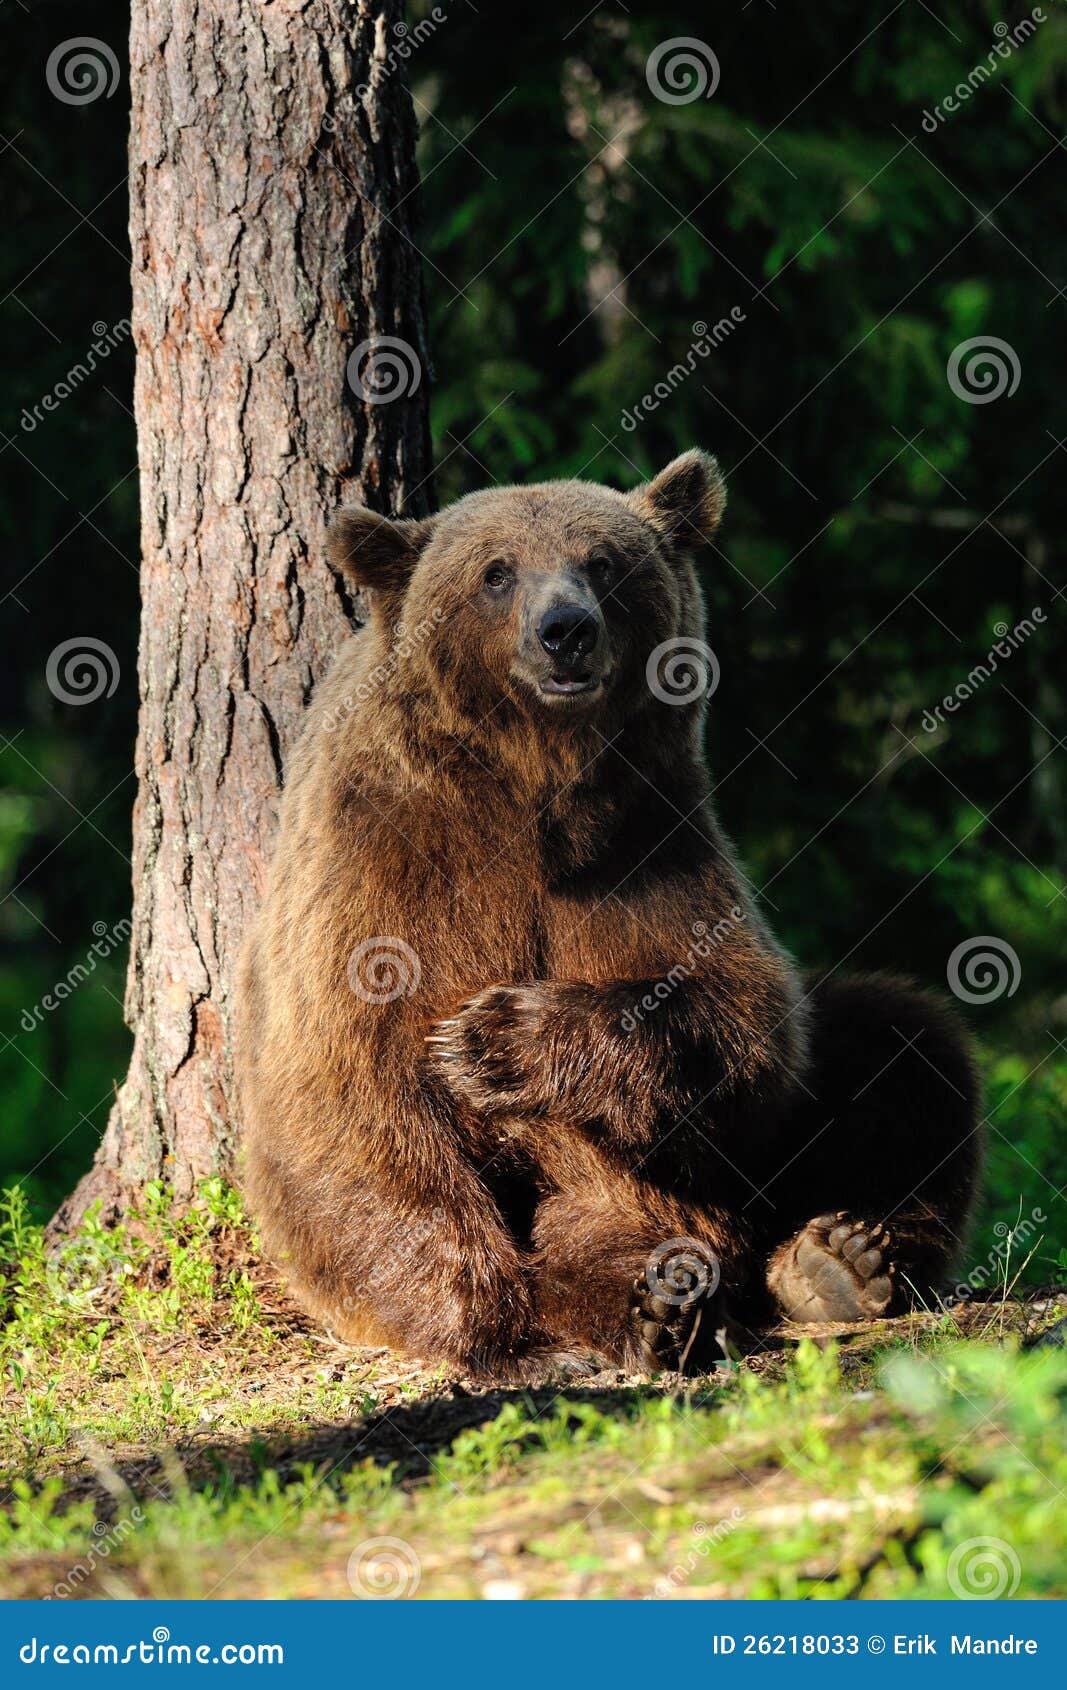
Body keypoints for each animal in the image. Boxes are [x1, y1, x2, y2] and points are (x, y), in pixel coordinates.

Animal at [235, 451, 981, 1378]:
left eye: (602, 561)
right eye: (495, 572)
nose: (565, 629)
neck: (531, 789)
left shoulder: (647, 847)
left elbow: (741, 1026)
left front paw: (494, 1035)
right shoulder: (382, 859)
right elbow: (352, 1085)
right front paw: (494, 1331)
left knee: (903, 1044)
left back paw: (821, 1264)